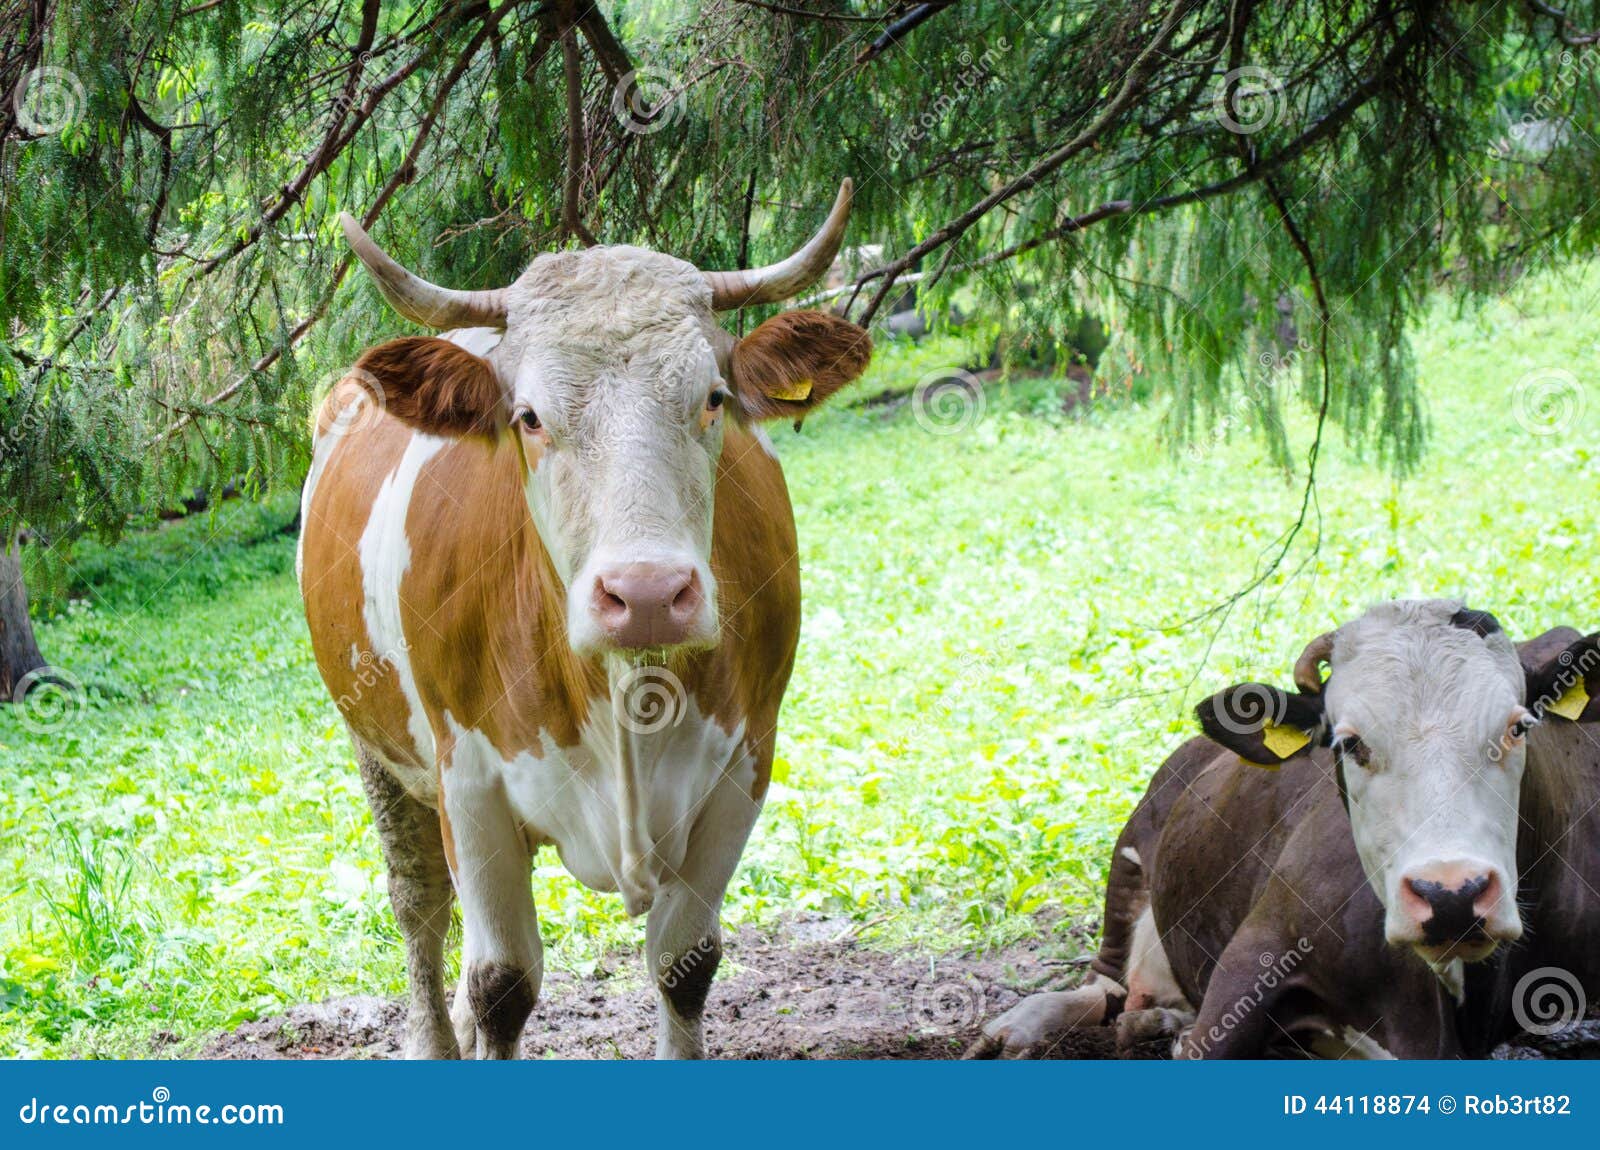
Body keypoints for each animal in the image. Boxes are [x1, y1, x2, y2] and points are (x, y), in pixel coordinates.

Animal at [297, 182, 872, 1059]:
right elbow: (502, 984)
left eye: (713, 399)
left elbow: (684, 963)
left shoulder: (743, 769)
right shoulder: (470, 788)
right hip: (379, 750)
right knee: (421, 906)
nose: (647, 593)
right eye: (529, 417)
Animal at [967, 599, 1600, 1059]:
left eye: (1518, 728)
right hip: (1131, 855)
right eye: (1349, 743)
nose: (1451, 894)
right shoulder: (1256, 954)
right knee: (1103, 987)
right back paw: (1017, 1027)